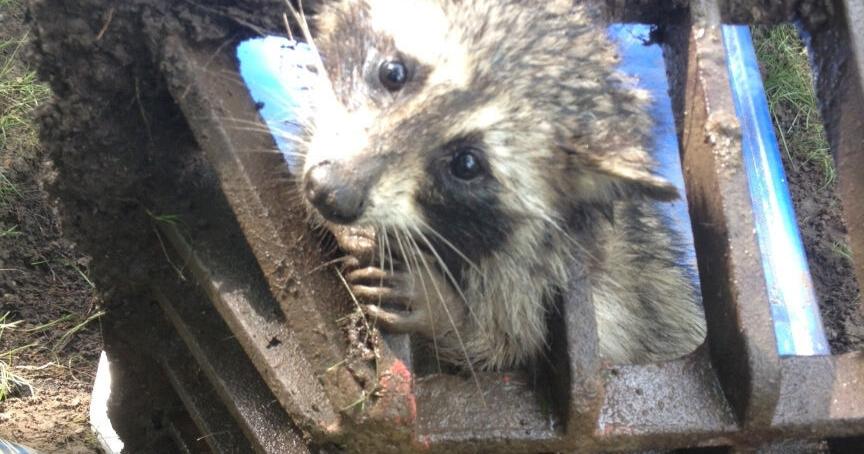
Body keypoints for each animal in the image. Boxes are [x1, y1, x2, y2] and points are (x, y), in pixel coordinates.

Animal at [296, 0, 706, 370]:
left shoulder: (582, 288)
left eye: (467, 164)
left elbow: (511, 349)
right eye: (393, 72)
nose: (331, 193)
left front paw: (446, 314)